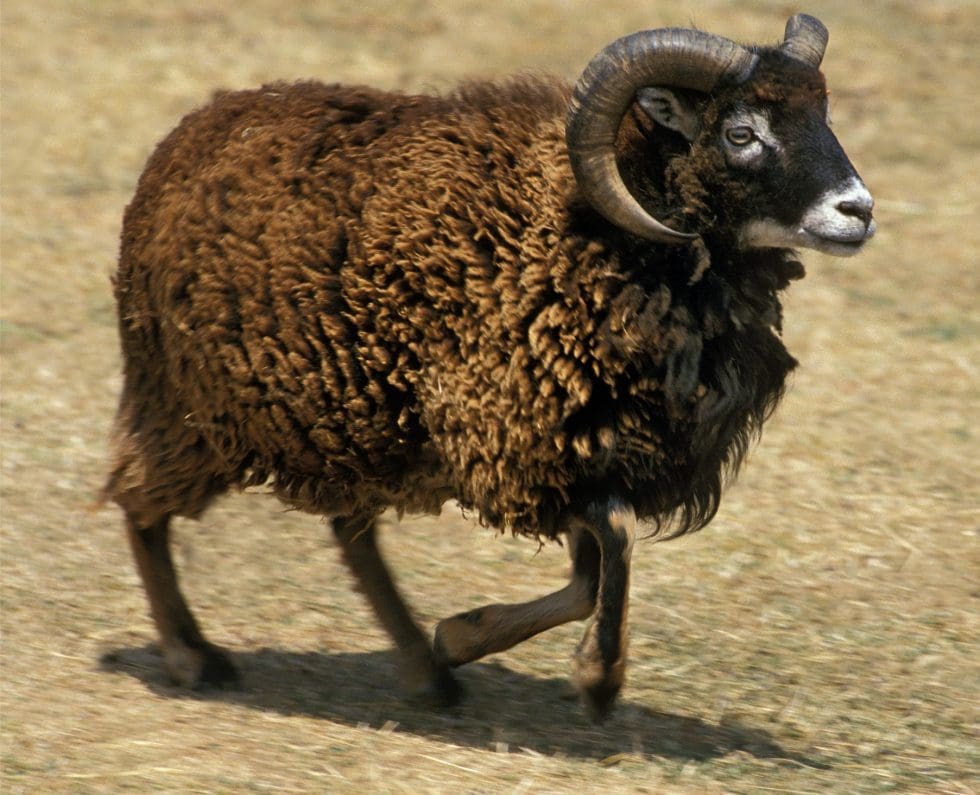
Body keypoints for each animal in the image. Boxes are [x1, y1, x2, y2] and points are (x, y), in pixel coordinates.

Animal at [105, 14, 875, 720]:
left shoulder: (593, 448)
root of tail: (189, 135)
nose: (858, 210)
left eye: (823, 114)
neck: (597, 230)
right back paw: (191, 656)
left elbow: (592, 572)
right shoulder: (520, 441)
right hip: (189, 406)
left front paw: (462, 636)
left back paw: (425, 671)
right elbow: (614, 546)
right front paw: (596, 680)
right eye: (740, 133)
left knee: (350, 535)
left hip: (354, 419)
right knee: (140, 503)